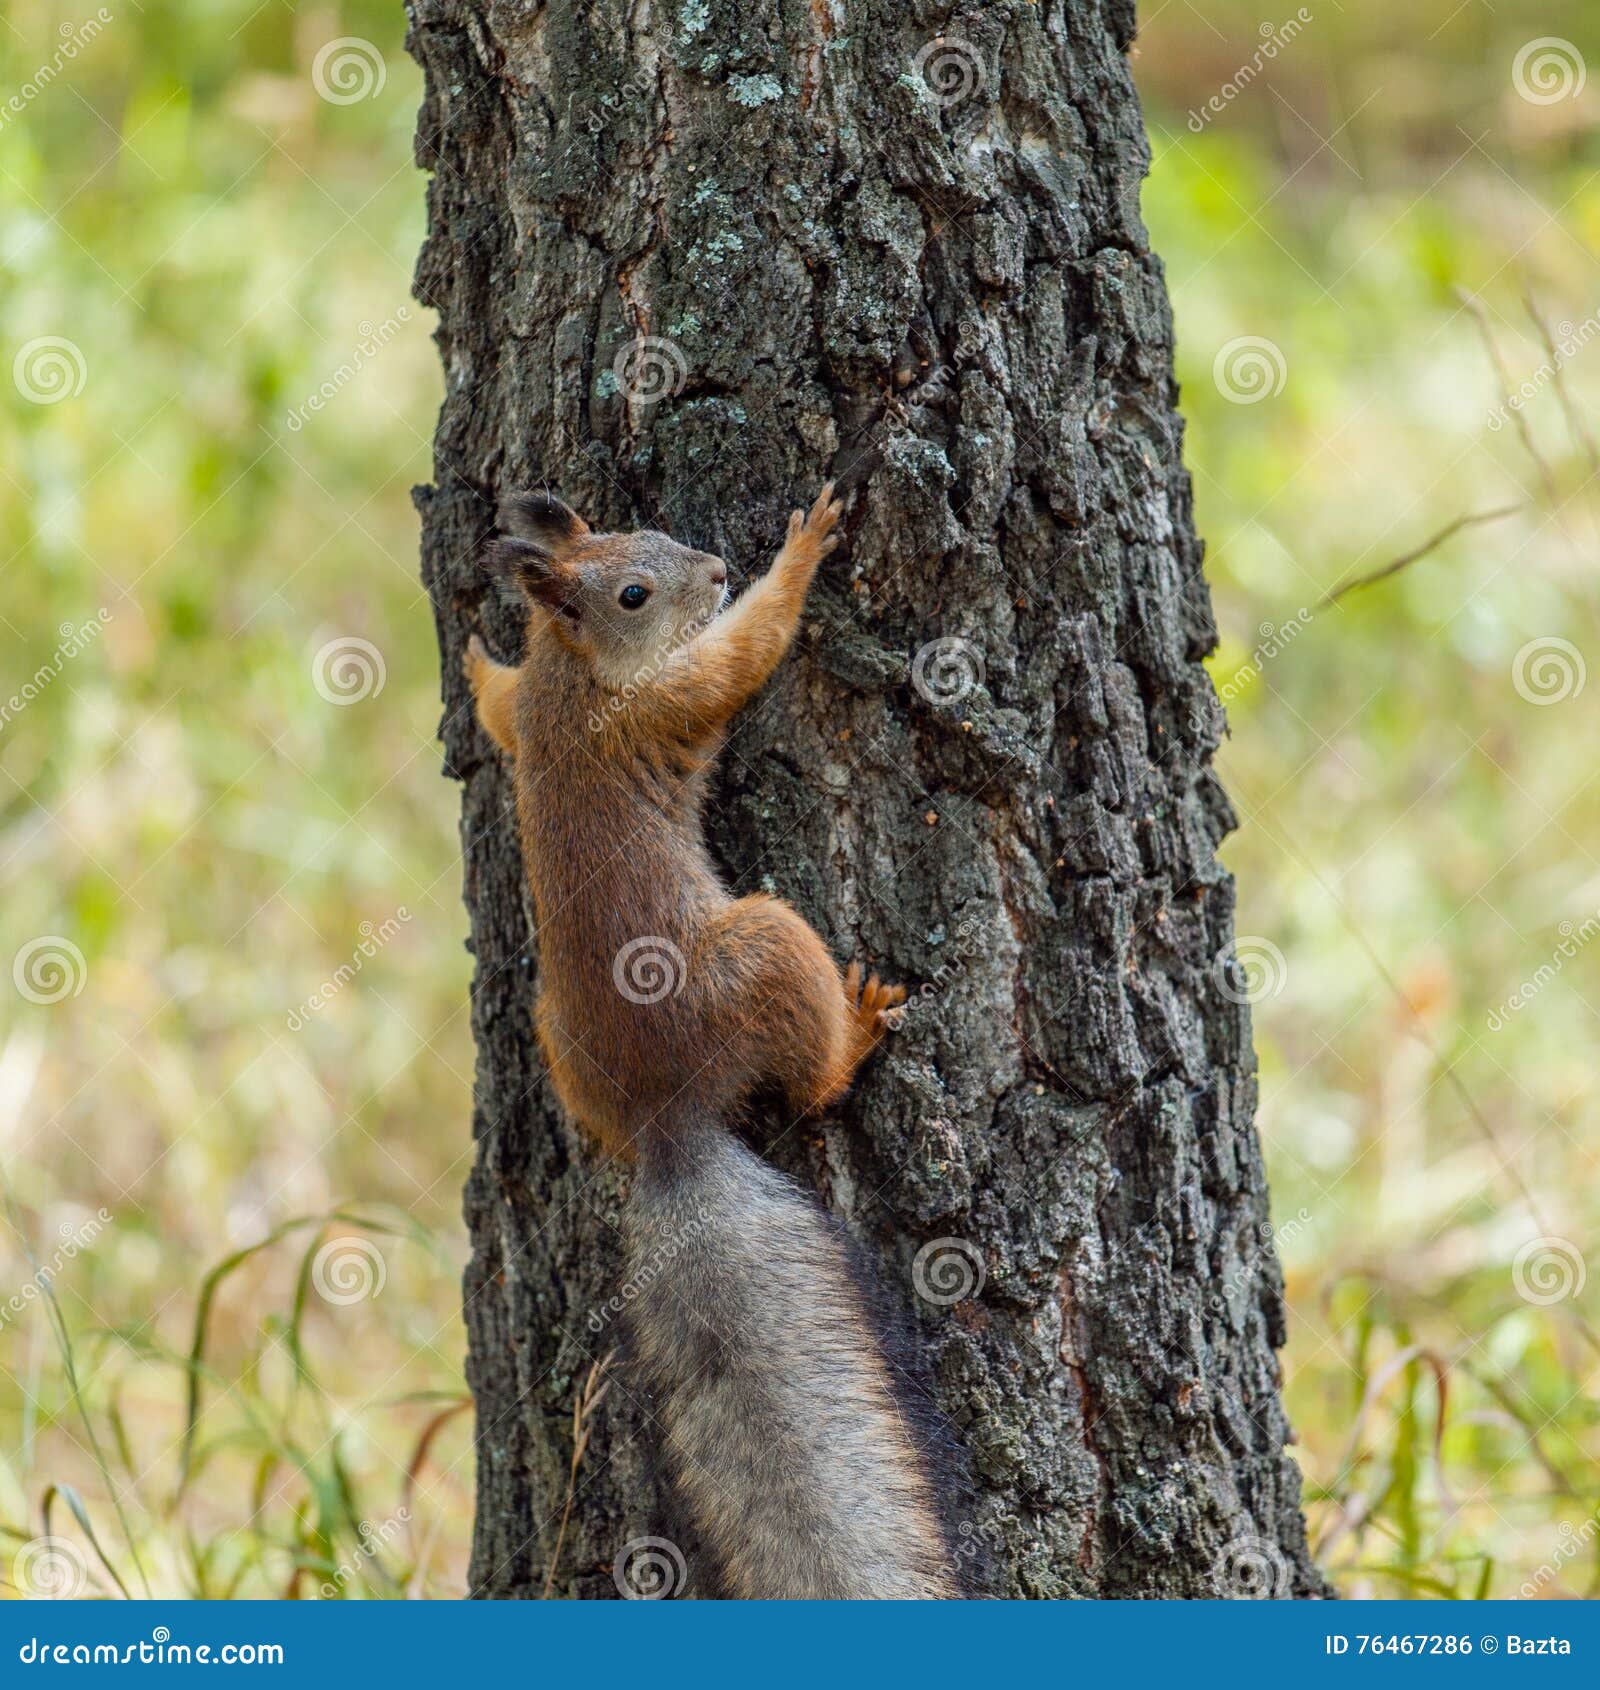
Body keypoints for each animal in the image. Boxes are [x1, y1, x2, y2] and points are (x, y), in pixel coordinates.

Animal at [465, 485, 962, 1599]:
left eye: (640, 533)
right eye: (634, 593)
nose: (719, 568)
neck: (578, 678)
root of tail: (663, 1116)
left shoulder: (536, 711)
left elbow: (498, 713)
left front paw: (477, 663)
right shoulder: (671, 696)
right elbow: (746, 653)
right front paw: (800, 553)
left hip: (556, 1041)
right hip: (764, 947)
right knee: (813, 1083)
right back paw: (858, 1027)